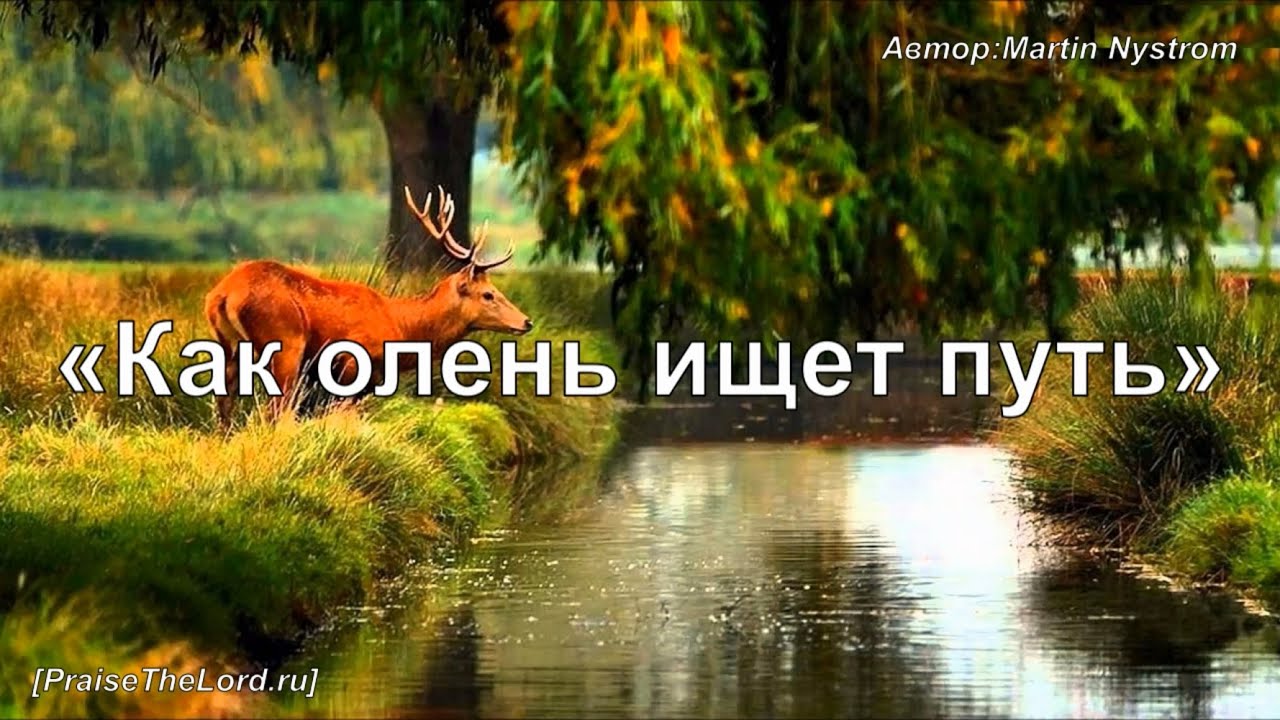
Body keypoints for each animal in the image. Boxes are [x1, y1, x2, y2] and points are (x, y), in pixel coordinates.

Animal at [203, 185, 532, 431]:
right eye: (488, 294)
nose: (527, 321)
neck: (401, 327)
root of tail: (224, 294)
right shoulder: (351, 362)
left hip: (228, 345)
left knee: (225, 403)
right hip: (286, 341)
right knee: (278, 410)